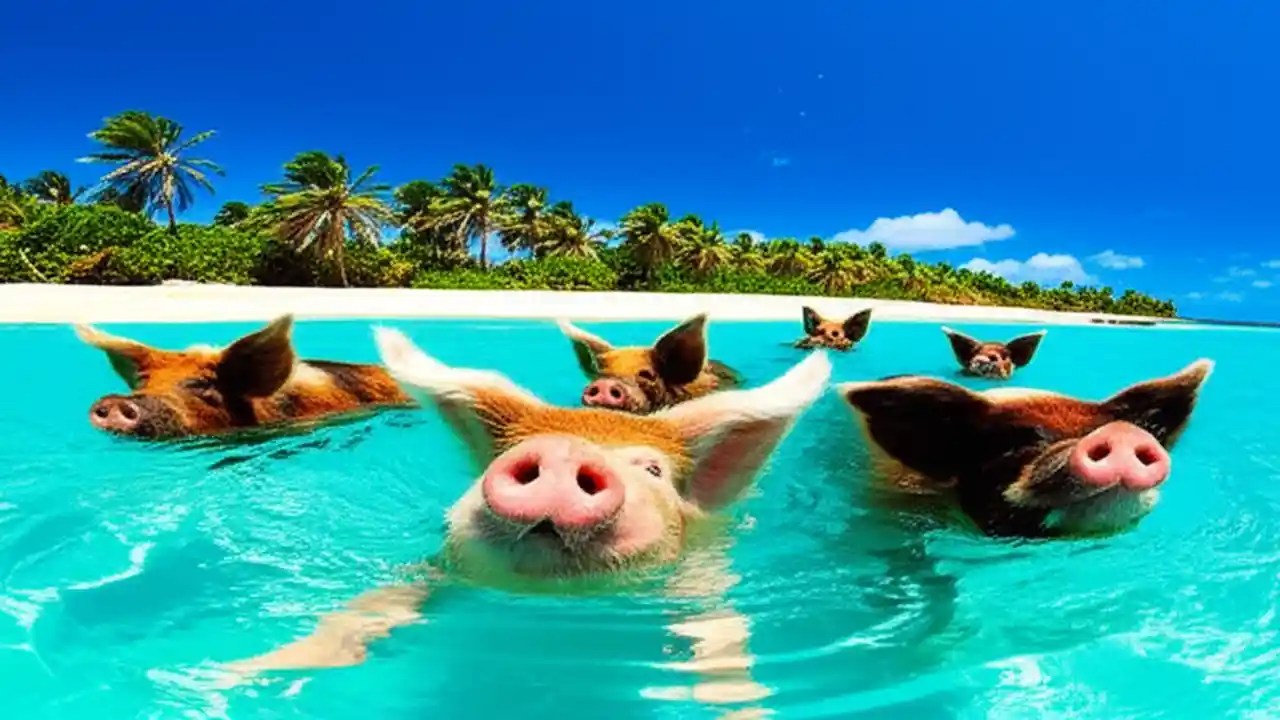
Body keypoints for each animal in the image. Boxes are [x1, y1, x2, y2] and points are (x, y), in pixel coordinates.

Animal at [226, 326, 831, 705]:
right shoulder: (437, 567)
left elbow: (724, 643)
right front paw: (239, 675)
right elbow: (363, 612)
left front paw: (742, 705)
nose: (563, 451)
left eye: (654, 470)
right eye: (511, 450)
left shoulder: (703, 575)